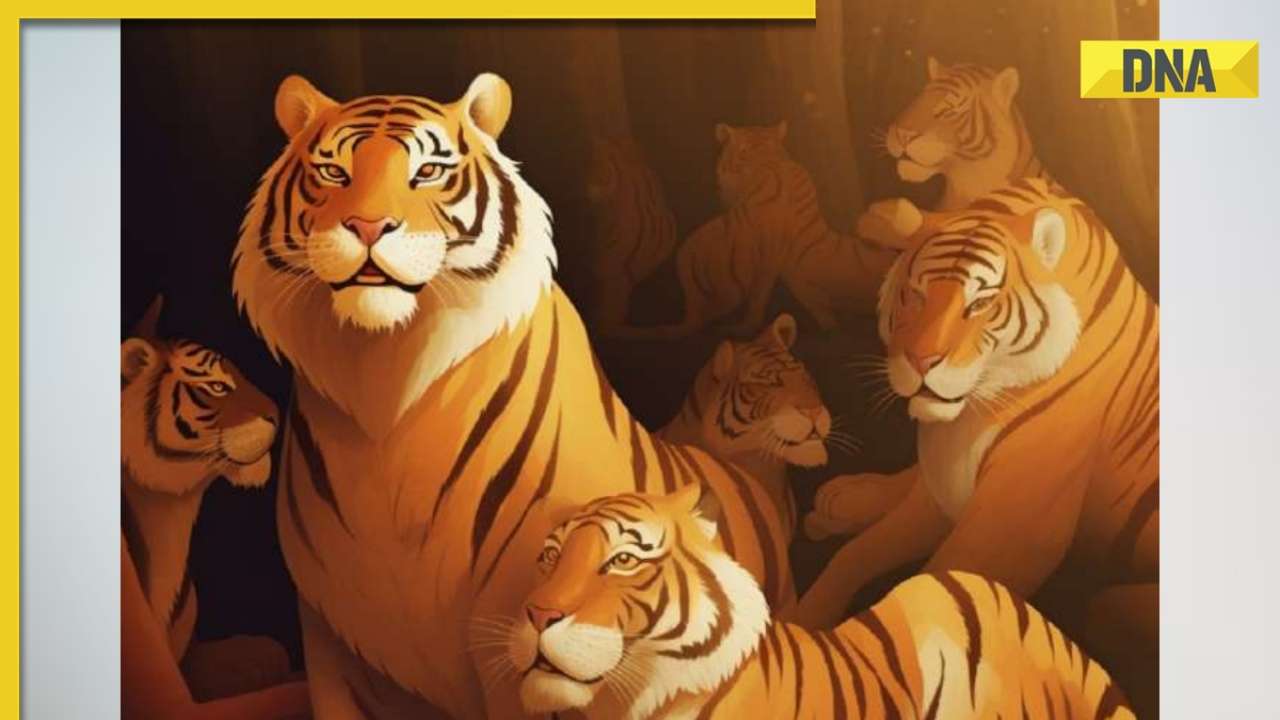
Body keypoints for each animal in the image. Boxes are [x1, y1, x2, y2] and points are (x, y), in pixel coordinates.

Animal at [791, 178, 1159, 716]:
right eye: (916, 295)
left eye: (980, 304)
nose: (920, 361)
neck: (971, 412)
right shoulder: (947, 489)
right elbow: (859, 552)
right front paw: (803, 614)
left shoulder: (1010, 532)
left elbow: (937, 588)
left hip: (1113, 602)